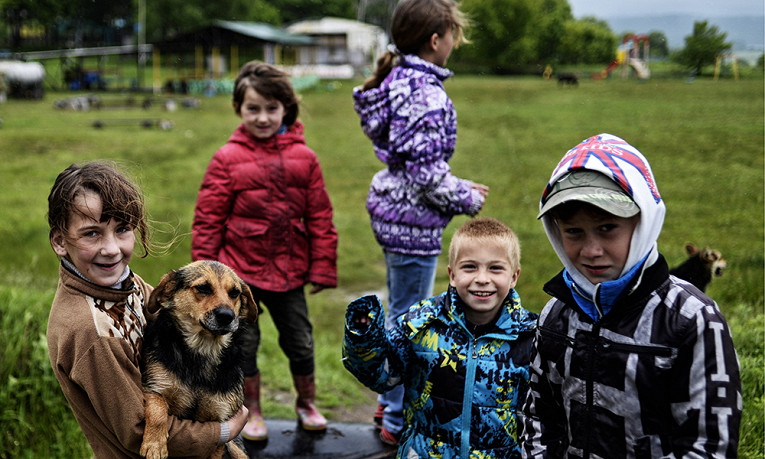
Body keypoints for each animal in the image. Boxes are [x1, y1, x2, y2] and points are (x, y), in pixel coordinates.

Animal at [138, 262, 256, 459]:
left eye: (234, 293)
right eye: (203, 288)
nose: (226, 316)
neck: (203, 351)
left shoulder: (221, 420)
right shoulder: (153, 387)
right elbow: (158, 406)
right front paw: (154, 445)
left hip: (237, 449)